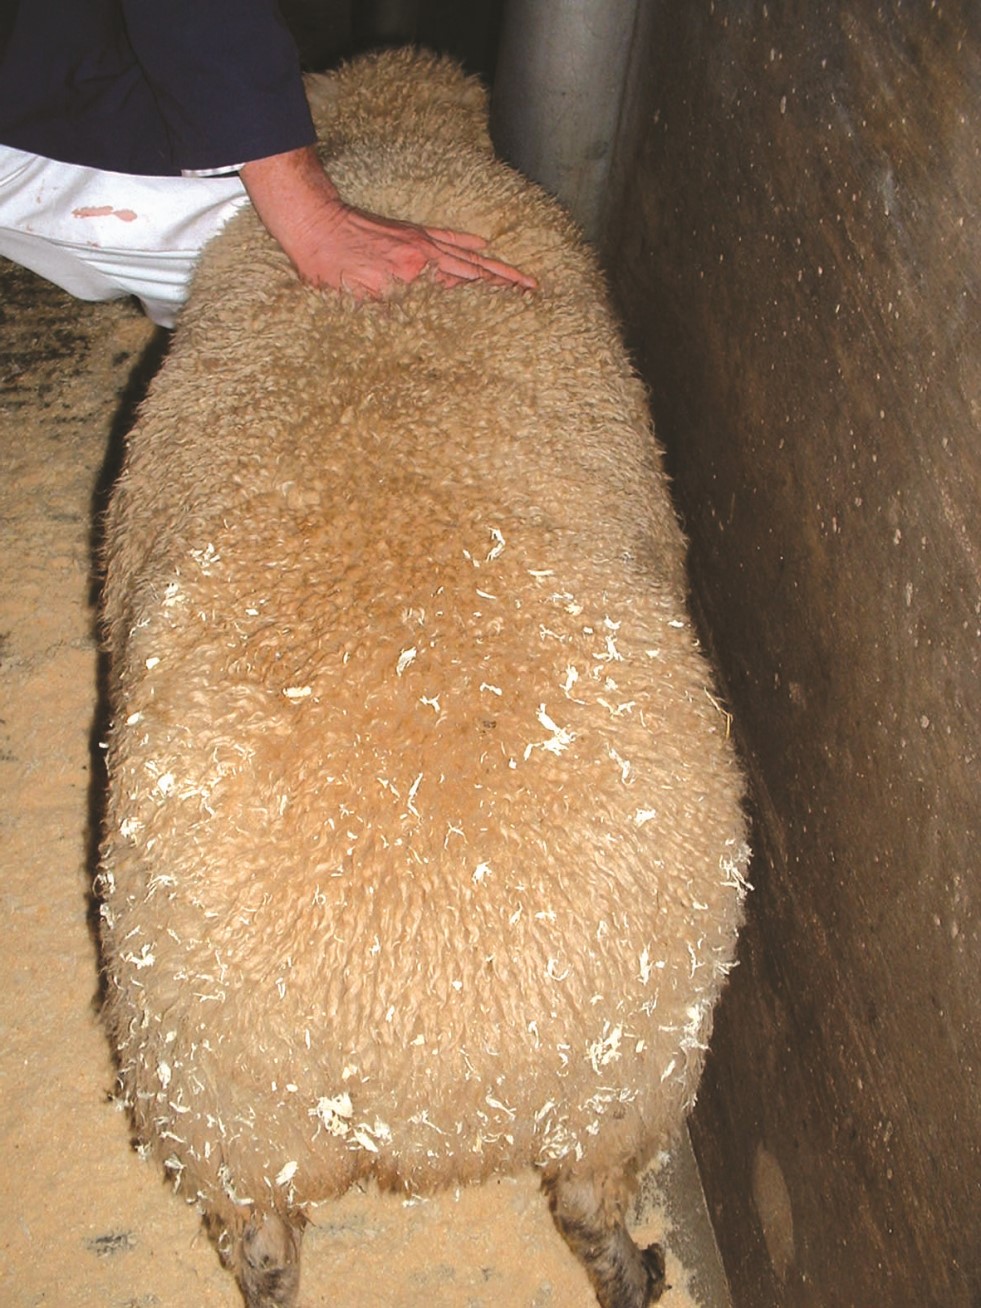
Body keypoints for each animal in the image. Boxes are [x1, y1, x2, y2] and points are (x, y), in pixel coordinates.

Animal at [97, 47, 750, 1308]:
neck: (393, 140)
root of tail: (431, 1052)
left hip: (265, 1113)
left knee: (277, 1246)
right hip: (572, 1095)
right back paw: (638, 1272)